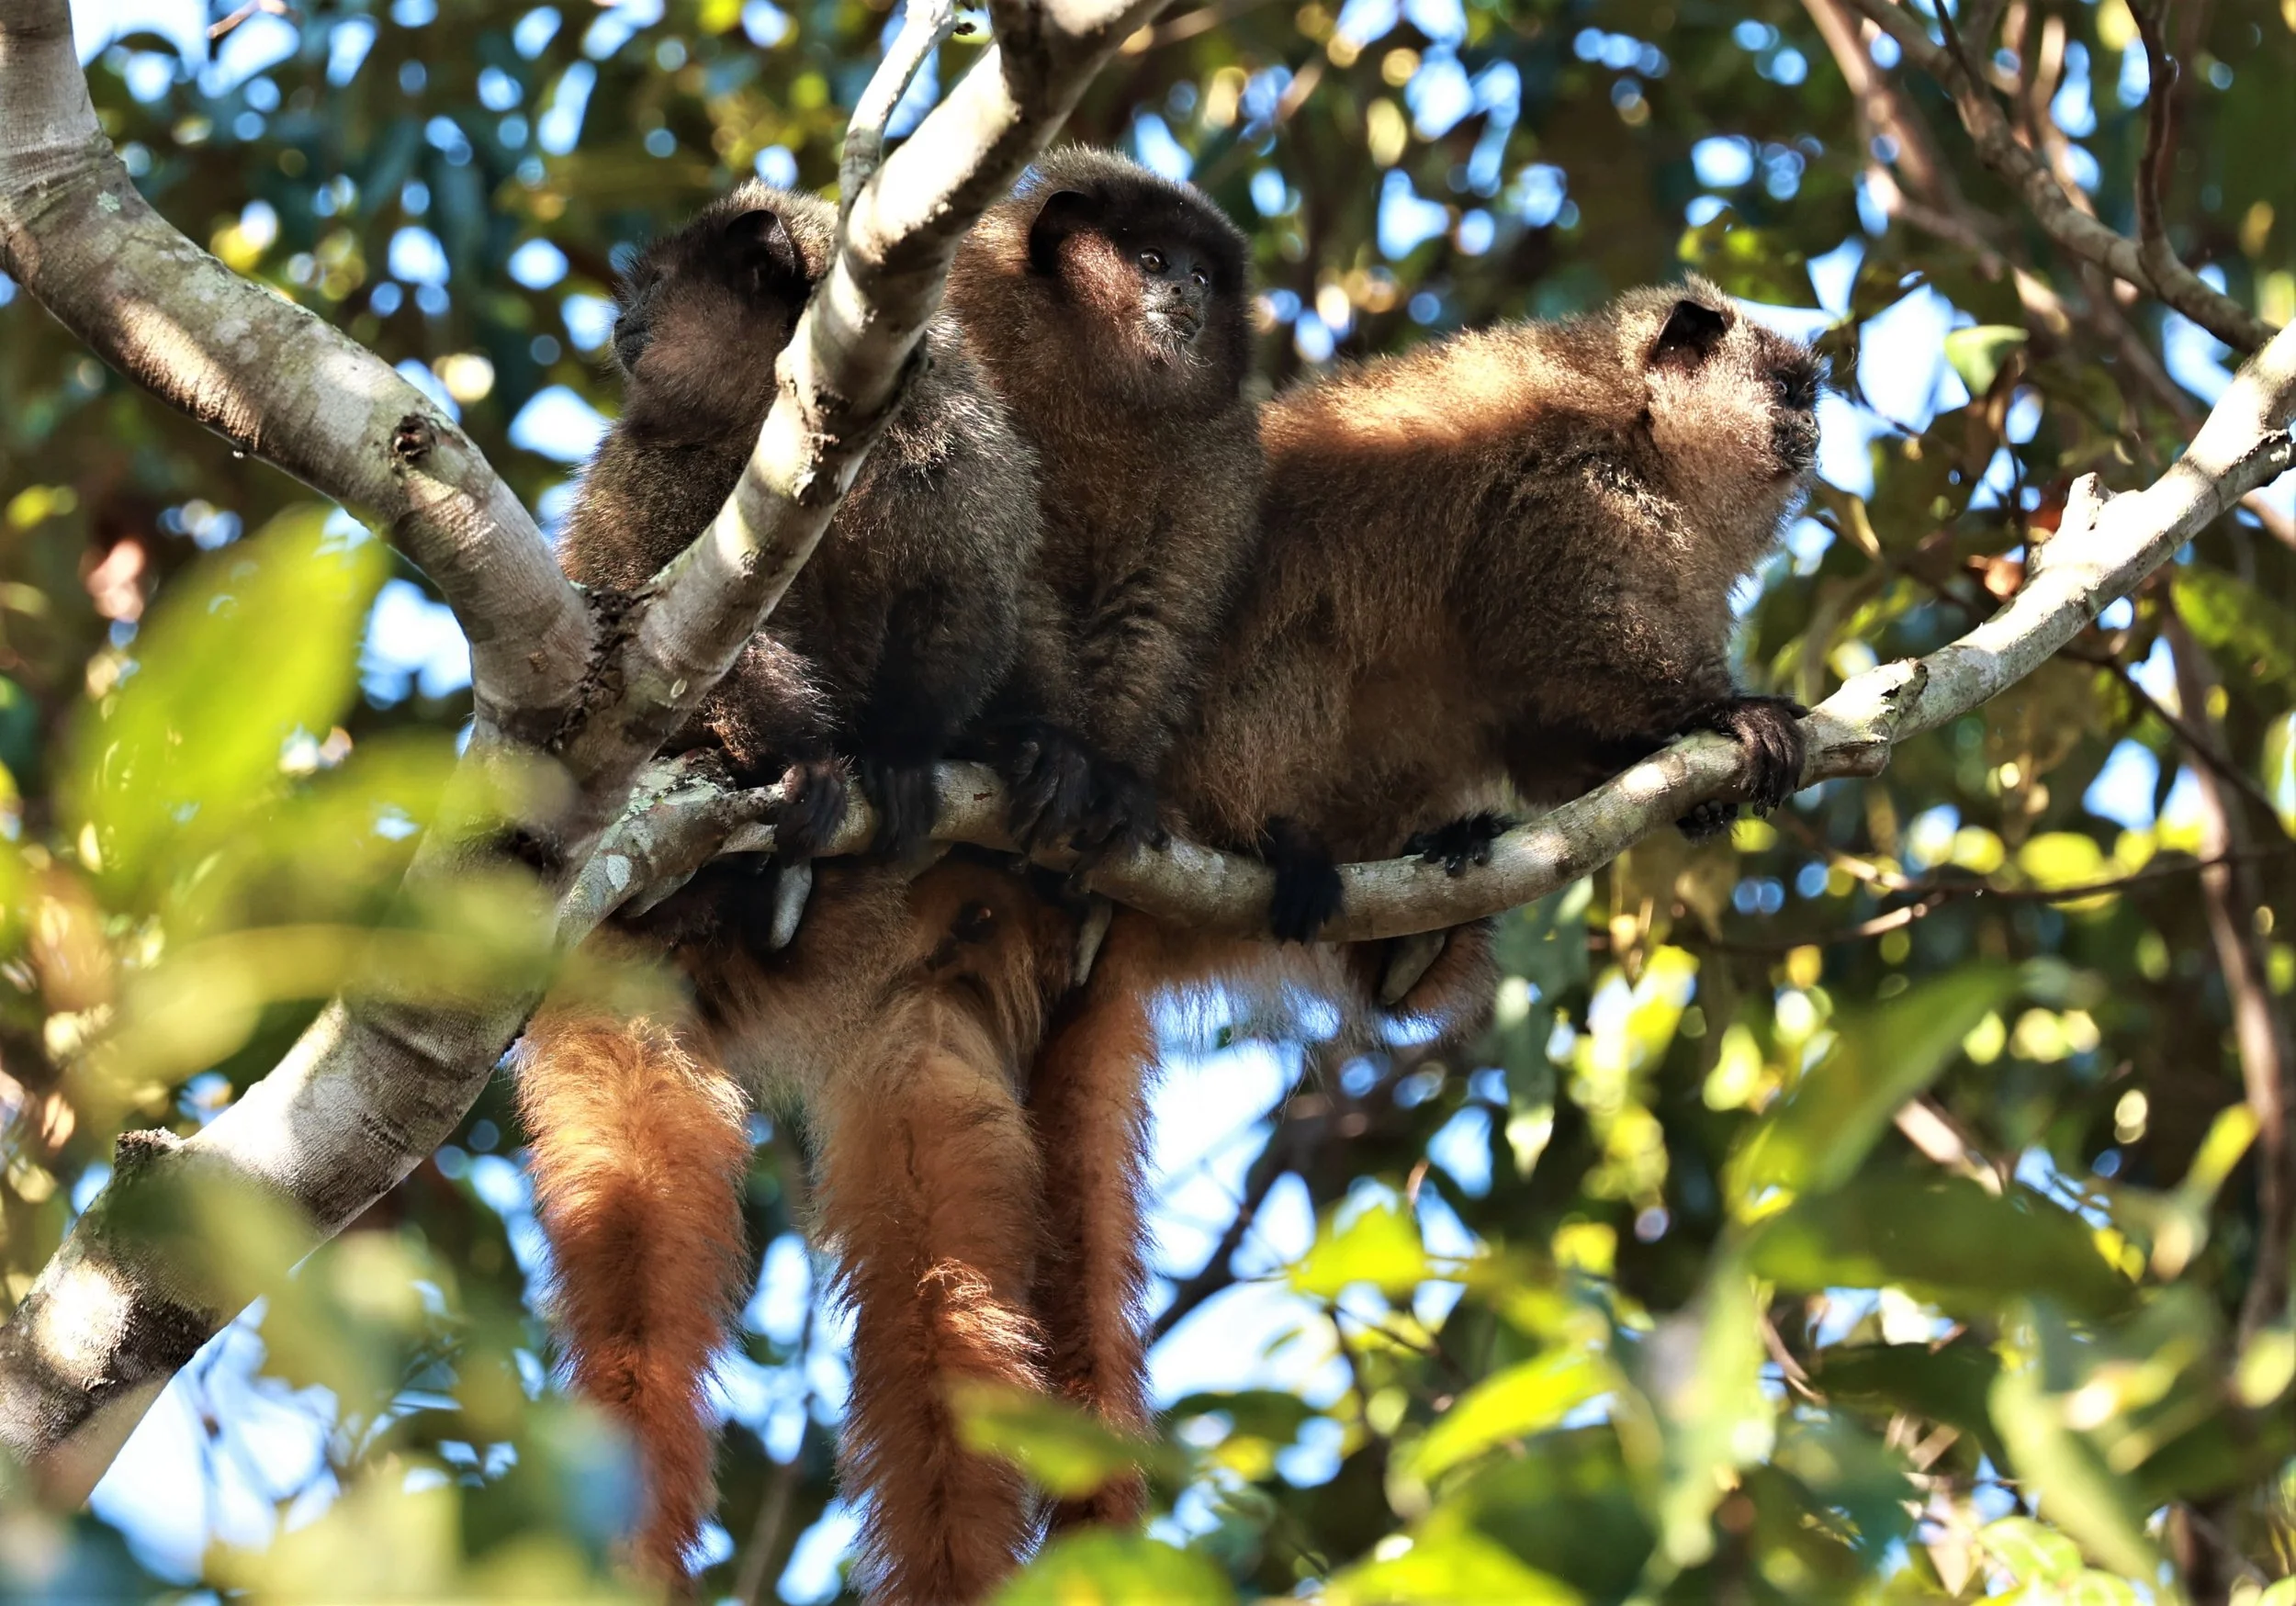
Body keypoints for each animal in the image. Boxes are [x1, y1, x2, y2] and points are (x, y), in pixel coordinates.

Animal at [1020, 277, 1824, 1532]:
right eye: (1788, 388)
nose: (1814, 430)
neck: (1641, 427)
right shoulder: (1572, 494)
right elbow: (1565, 640)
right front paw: (1719, 717)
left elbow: (1540, 730)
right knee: (1311, 636)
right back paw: (1269, 842)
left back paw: (1413, 929)